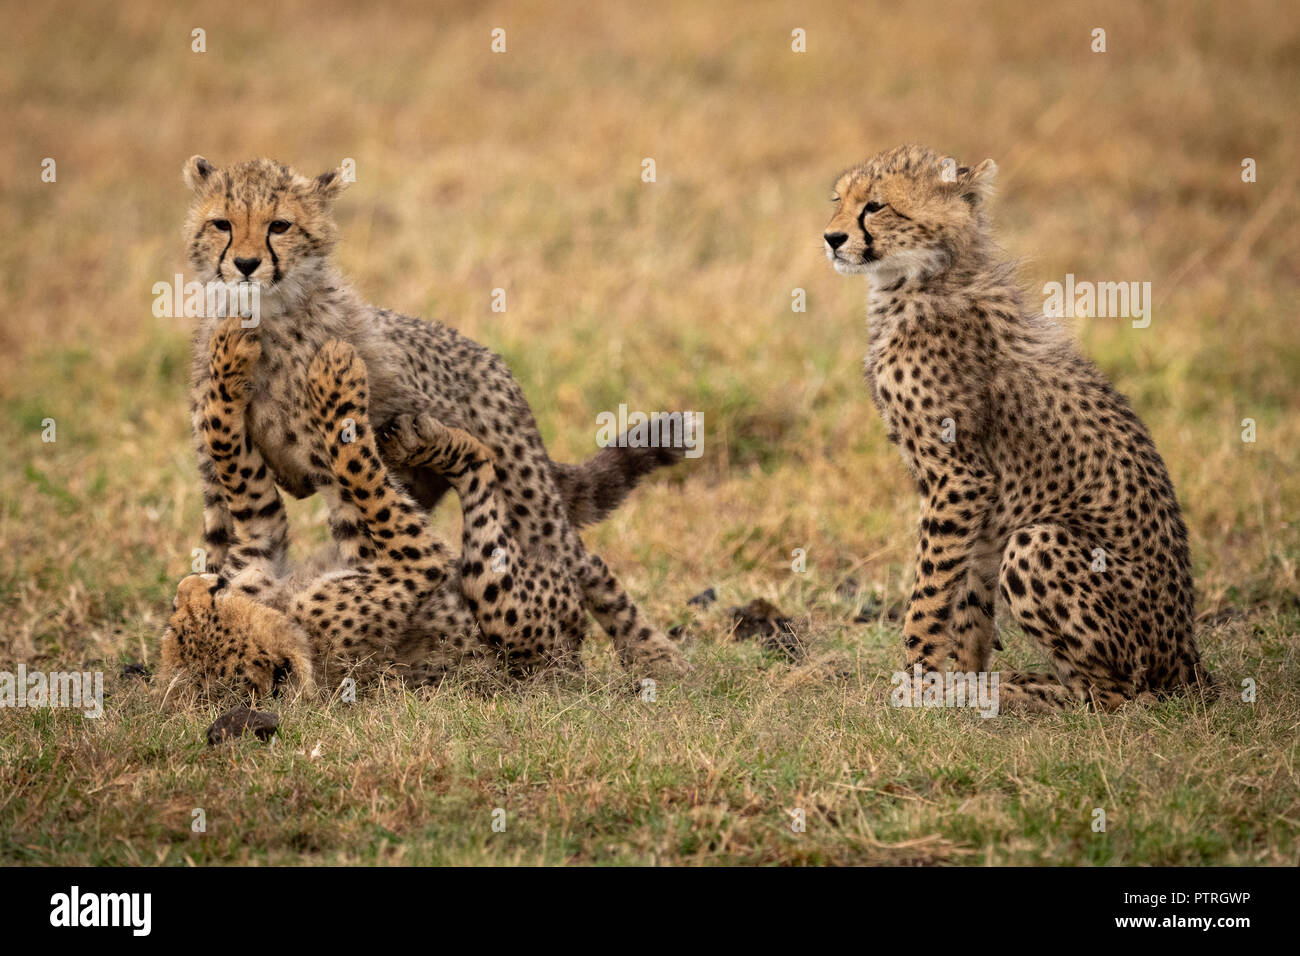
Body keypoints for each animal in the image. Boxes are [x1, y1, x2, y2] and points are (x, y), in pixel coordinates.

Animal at [160, 317, 590, 699]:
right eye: (190, 607)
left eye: (174, 615)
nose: (189, 584)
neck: (285, 609)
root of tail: (571, 661)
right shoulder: (419, 563)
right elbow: (362, 473)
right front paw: (336, 379)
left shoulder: (262, 532)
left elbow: (228, 451)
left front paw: (227, 357)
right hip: (498, 600)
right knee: (480, 473)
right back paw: (432, 442)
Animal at [180, 156, 684, 675]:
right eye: (222, 224)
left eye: (279, 226)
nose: (245, 265)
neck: (268, 321)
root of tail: (492, 360)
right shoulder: (219, 483)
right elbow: (224, 543)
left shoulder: (338, 479)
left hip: (526, 495)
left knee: (581, 560)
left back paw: (659, 656)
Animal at [823, 144, 1210, 711]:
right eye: (838, 201)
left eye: (875, 206)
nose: (831, 238)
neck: (920, 280)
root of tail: (1190, 659)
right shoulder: (973, 499)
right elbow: (965, 596)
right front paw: (961, 679)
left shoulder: (960, 478)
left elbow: (929, 589)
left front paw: (917, 682)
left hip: (1039, 542)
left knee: (1115, 695)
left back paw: (1021, 690)